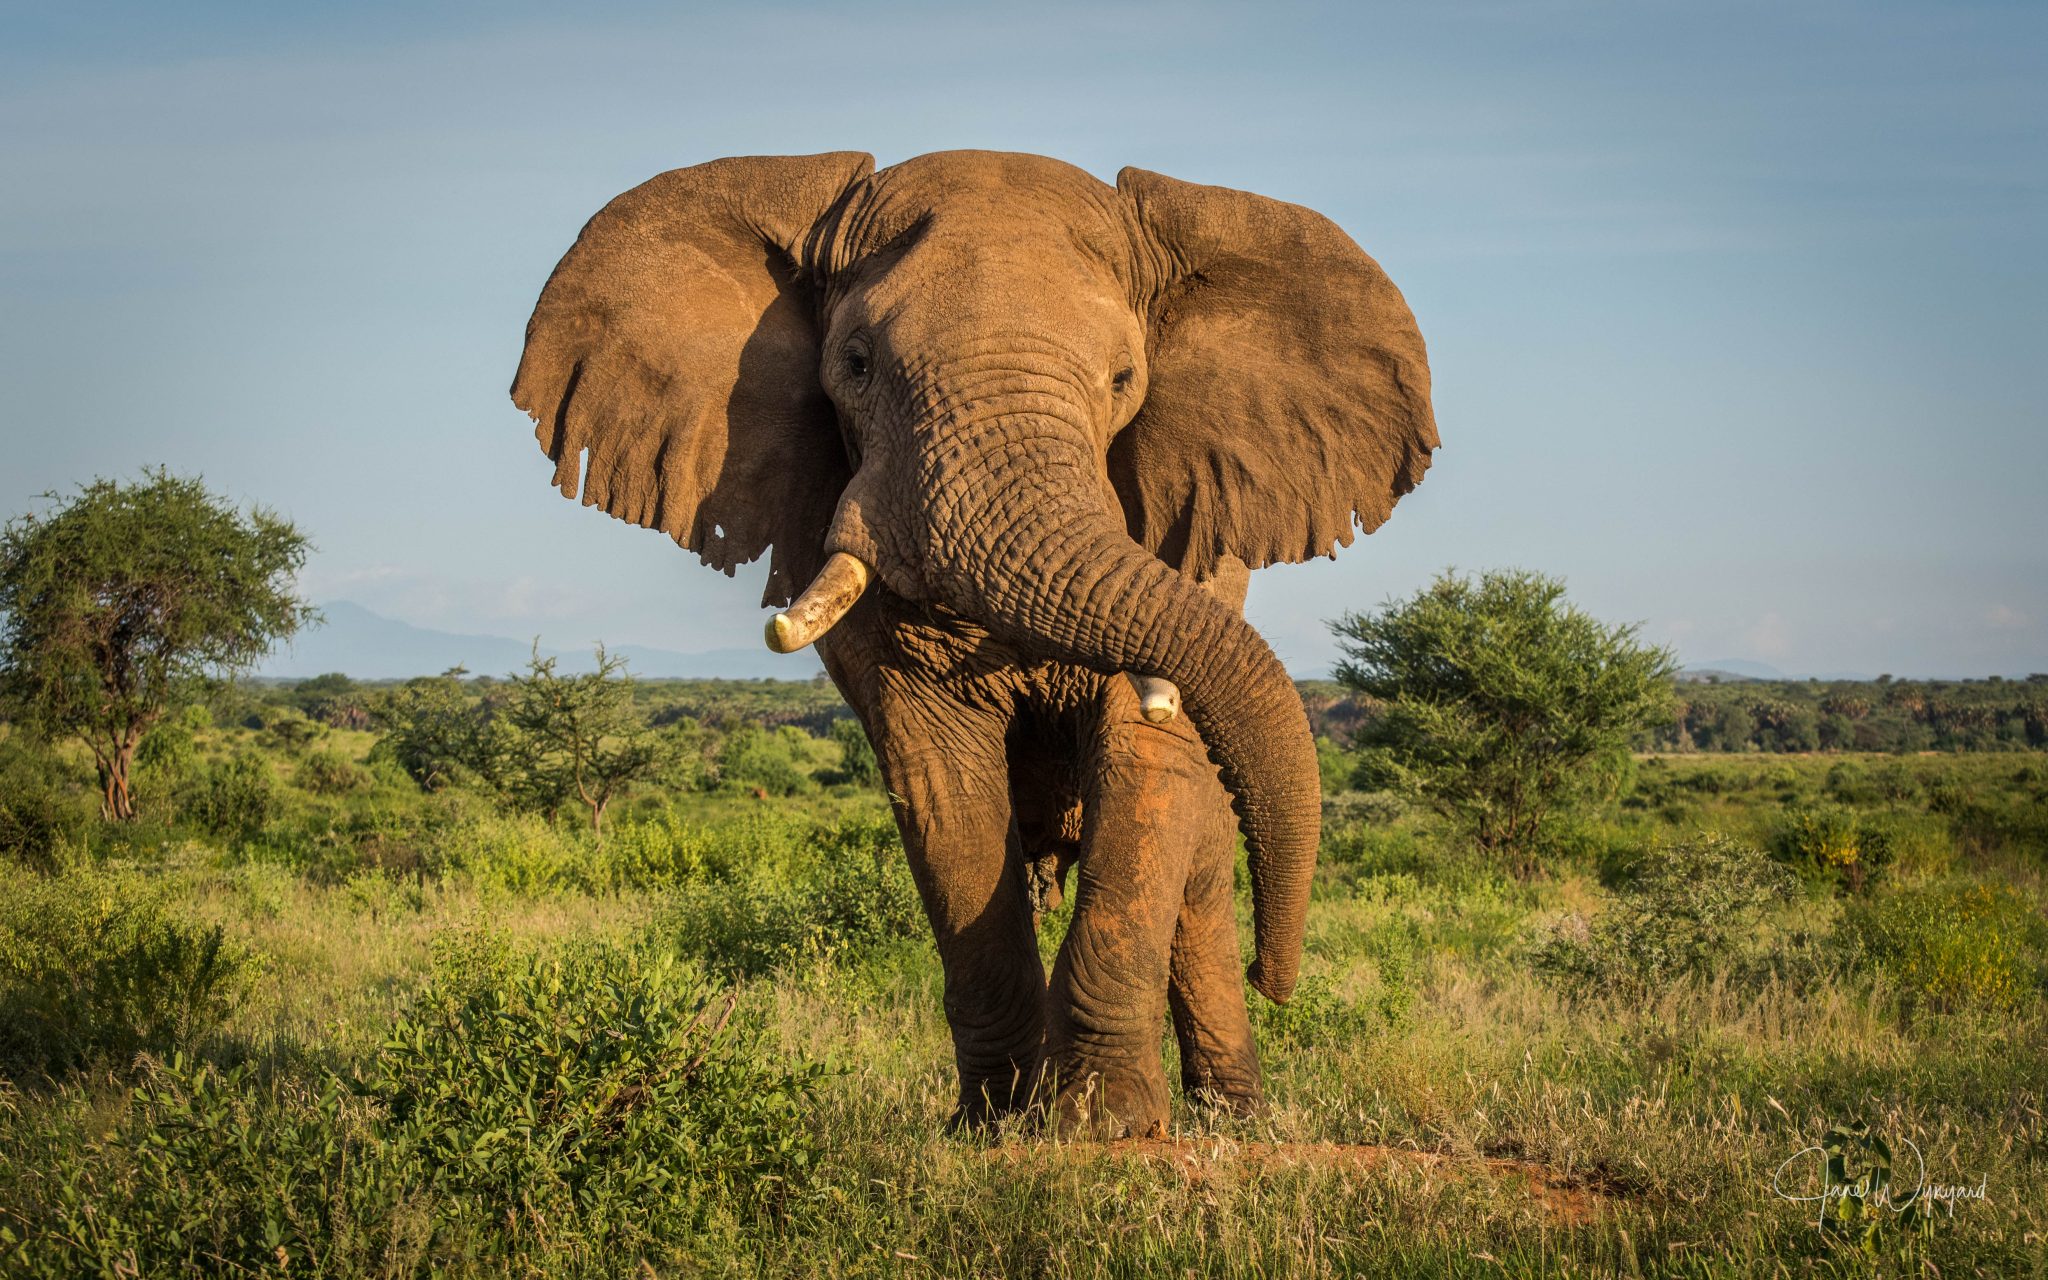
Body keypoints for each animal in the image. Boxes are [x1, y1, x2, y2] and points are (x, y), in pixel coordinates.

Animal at [511, 151, 1437, 1137]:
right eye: (856, 365)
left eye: (1123, 379)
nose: (1282, 978)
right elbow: (941, 786)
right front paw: (996, 1128)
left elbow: (1145, 760)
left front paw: (1104, 1126)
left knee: (1195, 889)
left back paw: (1237, 1119)